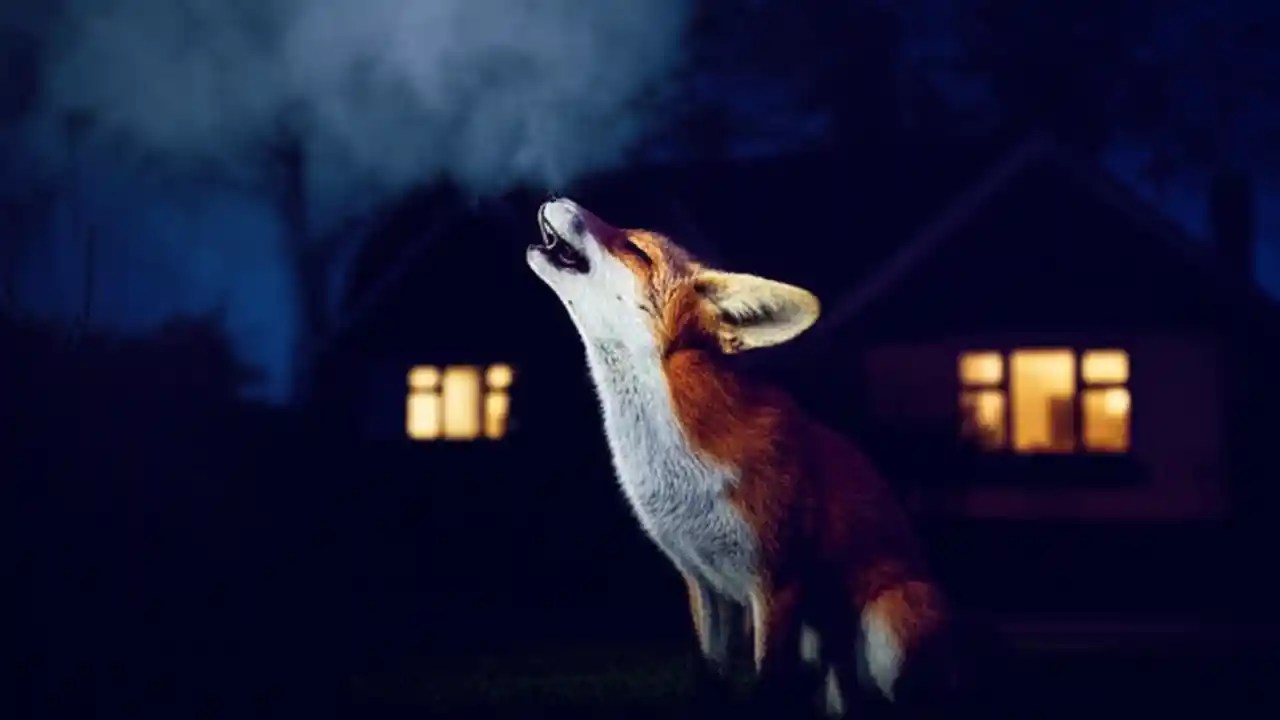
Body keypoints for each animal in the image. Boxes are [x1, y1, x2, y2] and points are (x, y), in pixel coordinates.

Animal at [526, 198, 957, 716]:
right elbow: (710, 683)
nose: (560, 198)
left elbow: (767, 689)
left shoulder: (775, 585)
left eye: (636, 249)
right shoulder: (704, 586)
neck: (679, 469)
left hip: (887, 626)